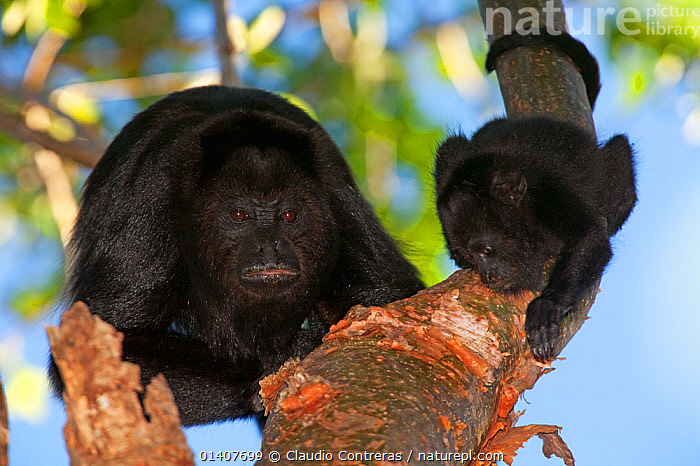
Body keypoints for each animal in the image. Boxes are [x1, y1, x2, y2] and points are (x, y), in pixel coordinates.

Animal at [49, 85, 424, 426]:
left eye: (289, 215)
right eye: (239, 215)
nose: (270, 245)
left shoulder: (335, 191)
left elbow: (388, 303)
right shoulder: (153, 196)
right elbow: (107, 345)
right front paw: (288, 355)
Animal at [434, 117, 636, 361]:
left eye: (487, 250)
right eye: (469, 257)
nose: (487, 276)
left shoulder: (547, 194)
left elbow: (590, 234)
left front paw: (546, 305)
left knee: (621, 149)